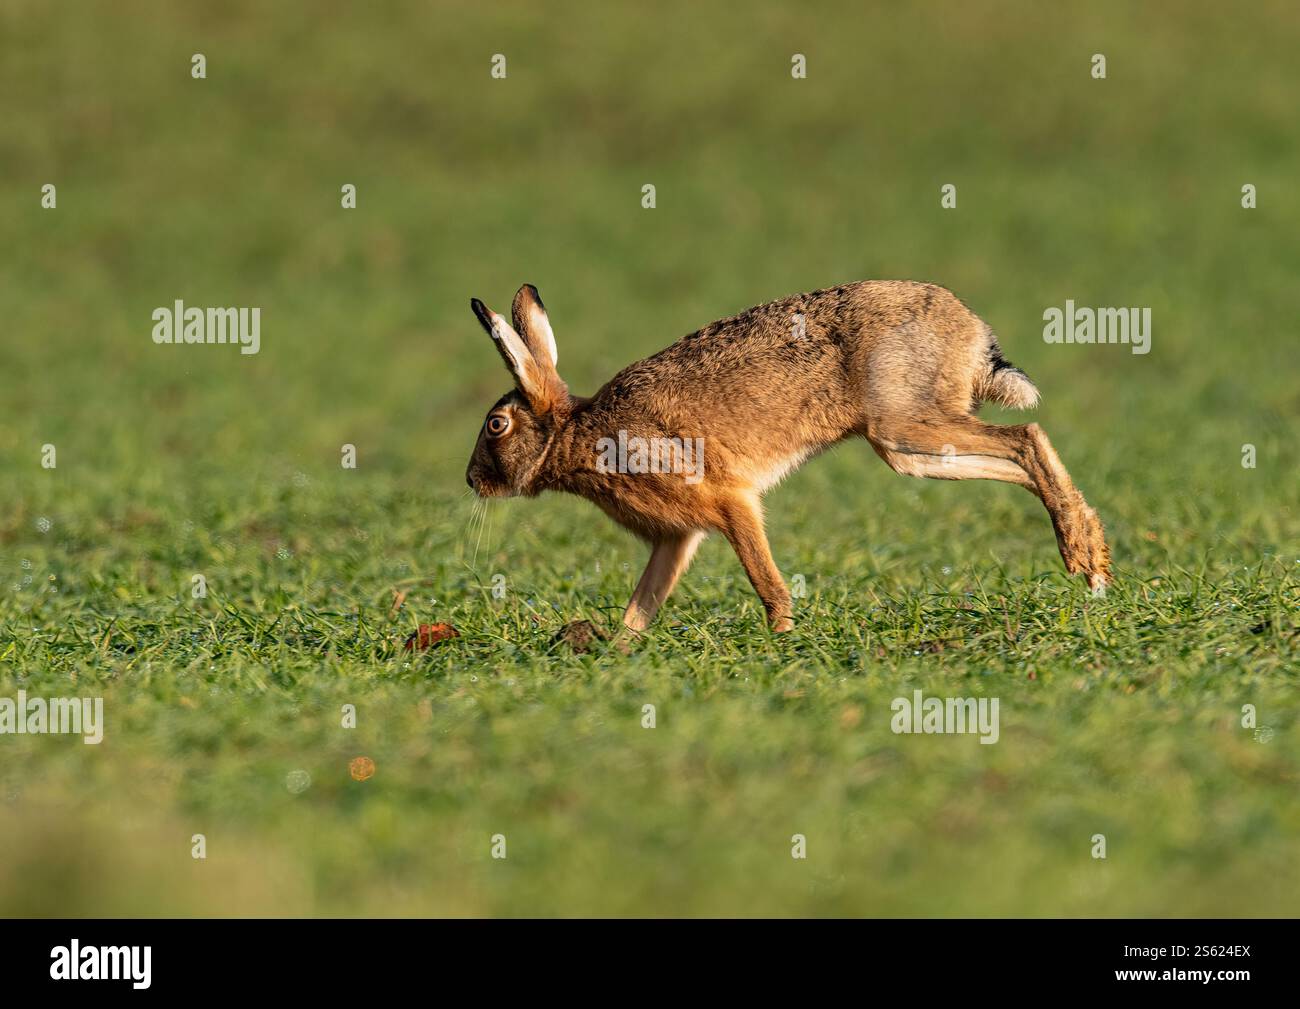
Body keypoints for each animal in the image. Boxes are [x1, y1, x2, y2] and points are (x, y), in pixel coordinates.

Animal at [466, 282, 1110, 633]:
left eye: (496, 425)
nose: (471, 481)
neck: (573, 434)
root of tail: (973, 332)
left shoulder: (729, 501)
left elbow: (765, 580)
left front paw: (783, 638)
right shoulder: (676, 539)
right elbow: (641, 605)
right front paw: (620, 651)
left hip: (906, 421)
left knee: (1027, 436)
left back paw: (1083, 556)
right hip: (907, 447)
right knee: (1016, 457)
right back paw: (1094, 559)